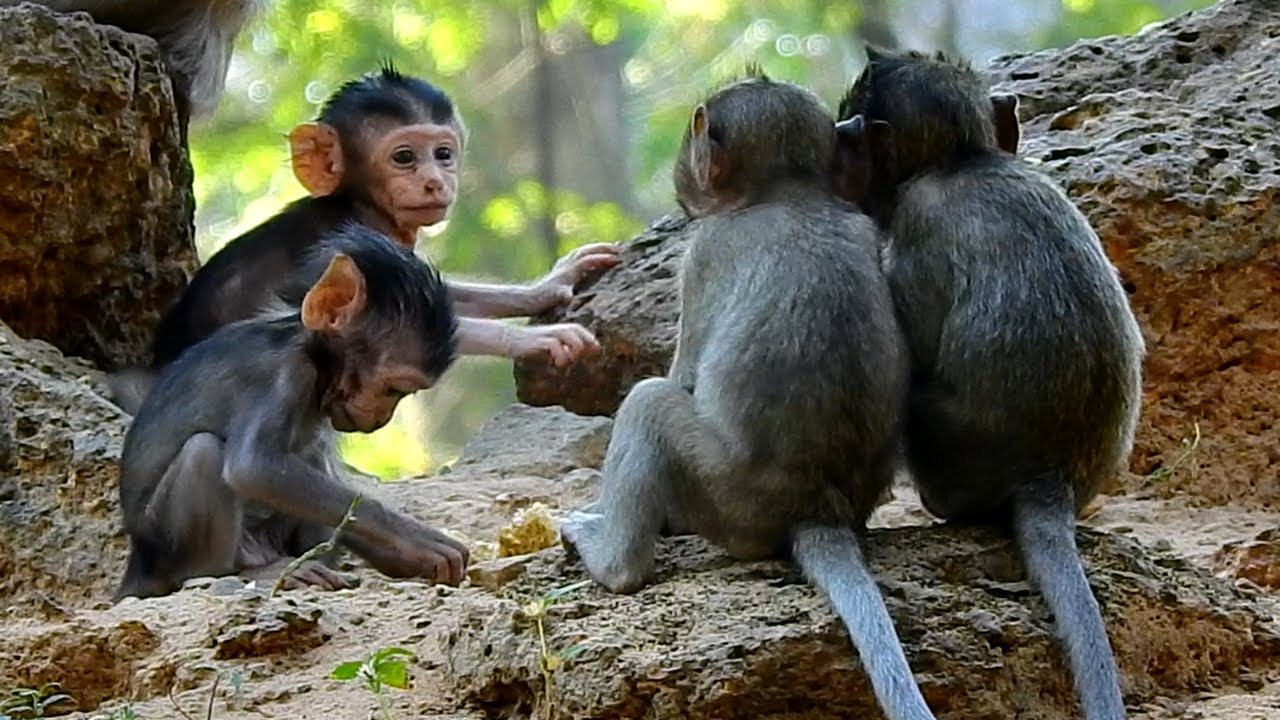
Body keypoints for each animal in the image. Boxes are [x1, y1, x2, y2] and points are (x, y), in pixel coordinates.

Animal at [106, 63, 619, 415]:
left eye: (444, 154)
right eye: (405, 158)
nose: (434, 181)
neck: (357, 205)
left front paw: (548, 286)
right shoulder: (346, 242)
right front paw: (533, 339)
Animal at [116, 222, 470, 600]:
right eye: (395, 389)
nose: (382, 418)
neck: (310, 351)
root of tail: (137, 568)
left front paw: (393, 555)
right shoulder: (286, 372)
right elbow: (254, 467)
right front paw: (414, 543)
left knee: (310, 453)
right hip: (164, 545)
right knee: (203, 452)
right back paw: (235, 573)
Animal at [560, 72, 940, 720]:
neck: (785, 194)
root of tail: (817, 508)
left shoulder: (704, 253)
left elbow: (682, 378)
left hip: (725, 496)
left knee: (650, 403)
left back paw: (611, 561)